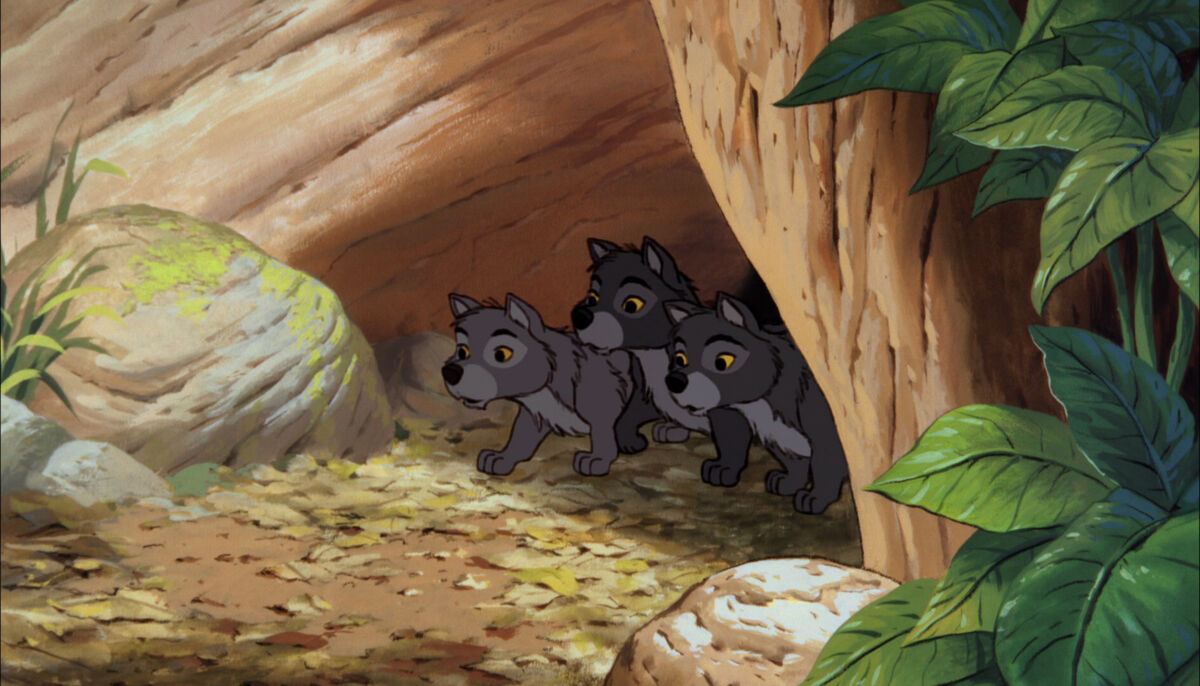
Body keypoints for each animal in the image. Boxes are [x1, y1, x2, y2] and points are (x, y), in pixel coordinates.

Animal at [441, 293, 637, 477]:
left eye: (501, 354)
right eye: (462, 351)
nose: (450, 372)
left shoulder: (602, 408)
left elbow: (602, 434)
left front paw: (598, 459)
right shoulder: (534, 415)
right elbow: (520, 439)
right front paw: (503, 458)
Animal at [571, 237, 754, 488]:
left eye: (631, 304)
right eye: (593, 297)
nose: (580, 316)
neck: (654, 359)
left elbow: (732, 439)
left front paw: (724, 469)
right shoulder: (647, 394)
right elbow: (624, 417)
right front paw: (631, 441)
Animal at [664, 294, 848, 514]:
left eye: (722, 361)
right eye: (680, 359)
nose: (675, 381)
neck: (758, 400)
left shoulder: (825, 426)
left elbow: (825, 464)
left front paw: (816, 498)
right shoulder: (744, 419)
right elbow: (736, 443)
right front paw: (786, 482)